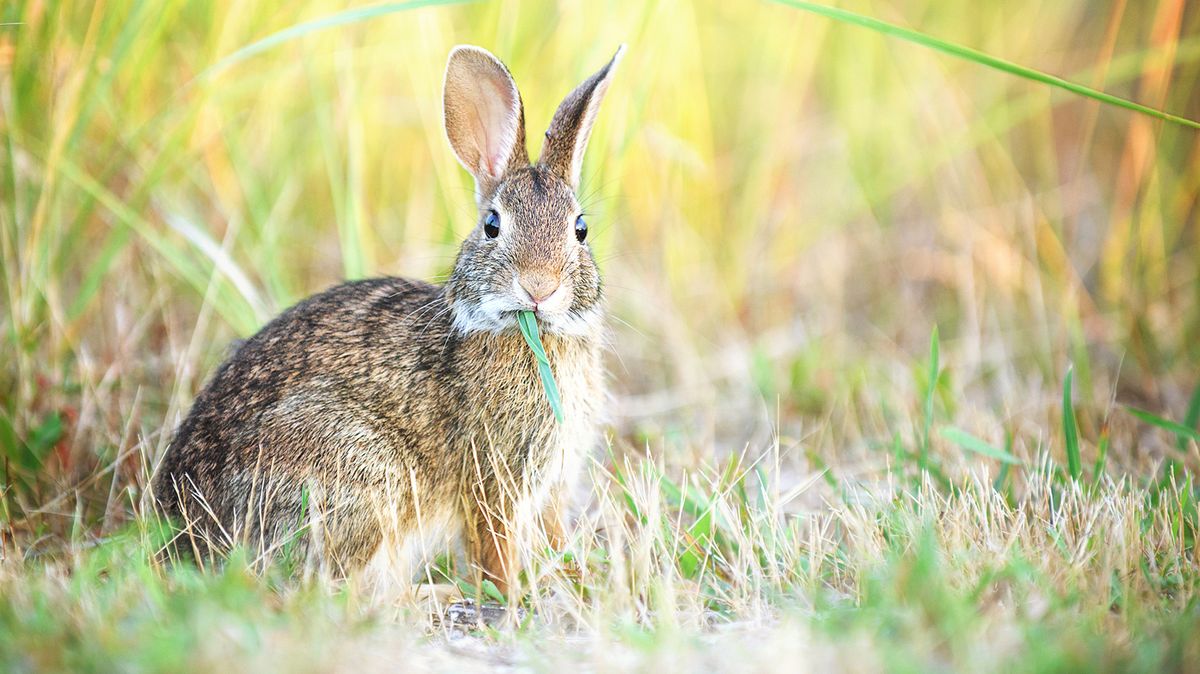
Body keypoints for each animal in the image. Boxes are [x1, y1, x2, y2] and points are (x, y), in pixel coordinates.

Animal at [152, 44, 624, 597]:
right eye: (492, 225)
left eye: (581, 229)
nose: (539, 288)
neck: (527, 334)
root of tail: (183, 540)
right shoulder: (492, 477)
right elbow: (494, 546)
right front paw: (513, 593)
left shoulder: (551, 482)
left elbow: (550, 532)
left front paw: (571, 575)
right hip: (358, 470)